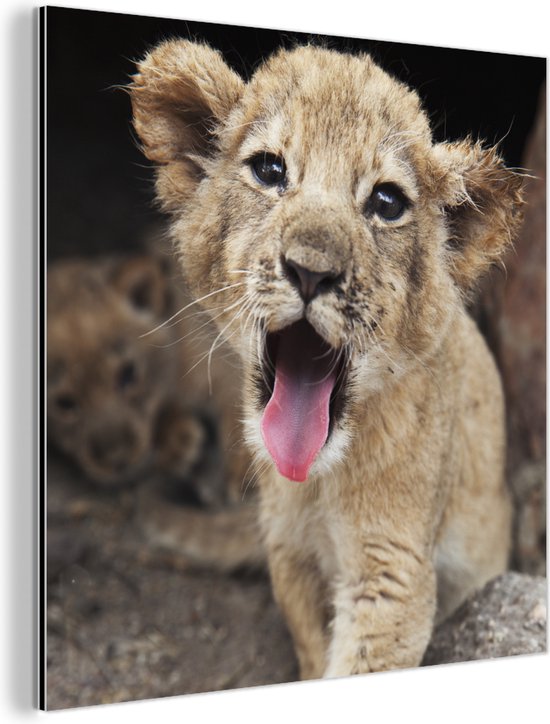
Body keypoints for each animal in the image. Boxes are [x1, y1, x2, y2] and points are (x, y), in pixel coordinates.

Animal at [129, 40, 524, 679]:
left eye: (387, 202)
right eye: (269, 170)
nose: (312, 271)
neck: (317, 481)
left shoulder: (394, 573)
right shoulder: (289, 554)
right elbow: (314, 653)